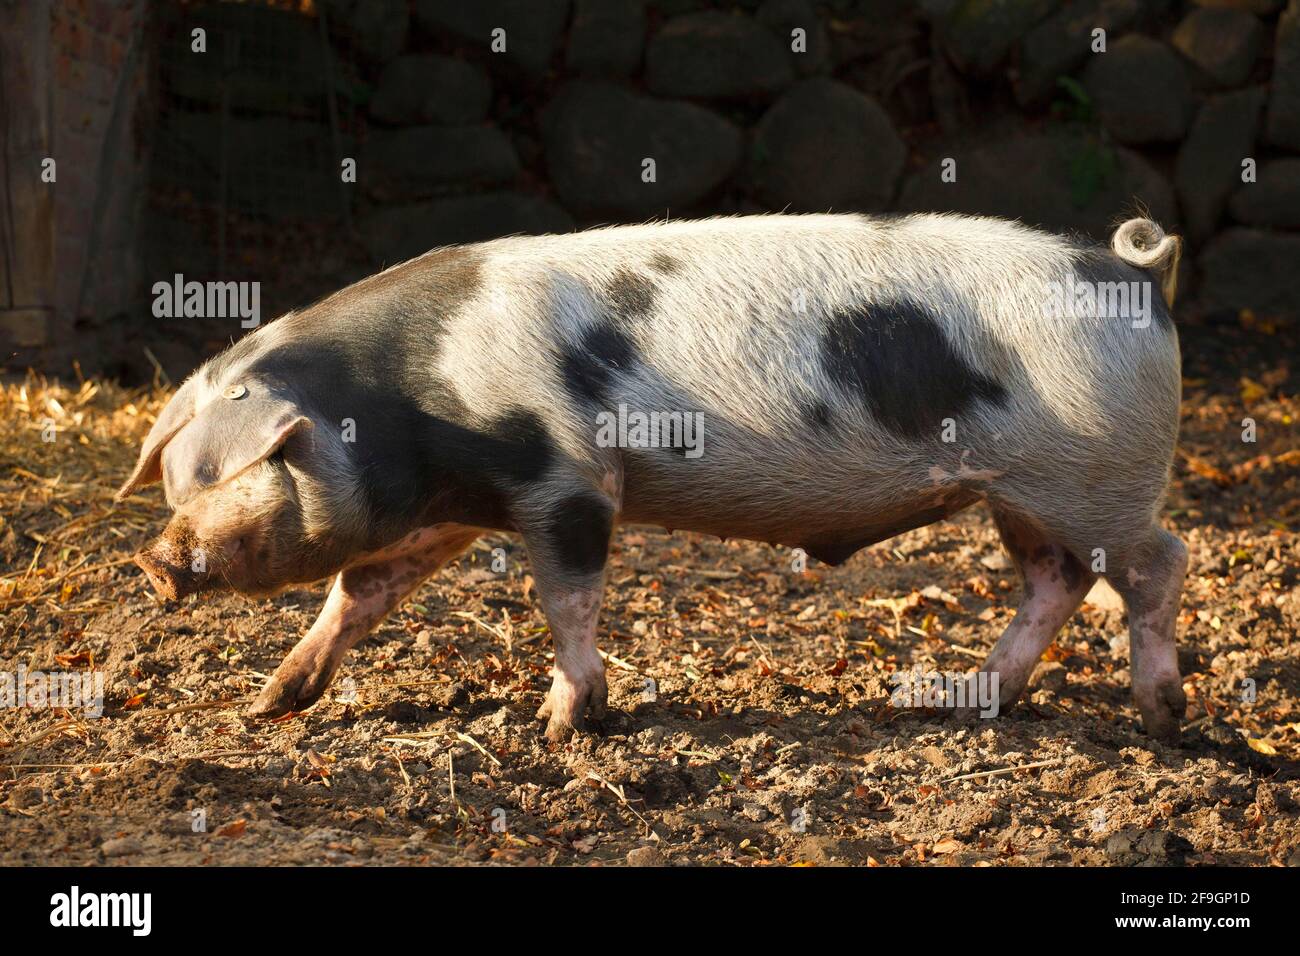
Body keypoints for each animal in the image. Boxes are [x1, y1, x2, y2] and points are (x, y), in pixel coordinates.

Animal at [118, 213, 1188, 743]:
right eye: (175, 483)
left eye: (235, 468)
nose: (154, 563)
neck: (425, 407)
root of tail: (1132, 272)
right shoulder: (450, 505)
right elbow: (362, 587)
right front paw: (269, 705)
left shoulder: (568, 479)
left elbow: (567, 599)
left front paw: (559, 728)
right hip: (1025, 492)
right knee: (1056, 580)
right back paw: (959, 703)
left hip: (1097, 475)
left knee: (1159, 563)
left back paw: (1163, 718)